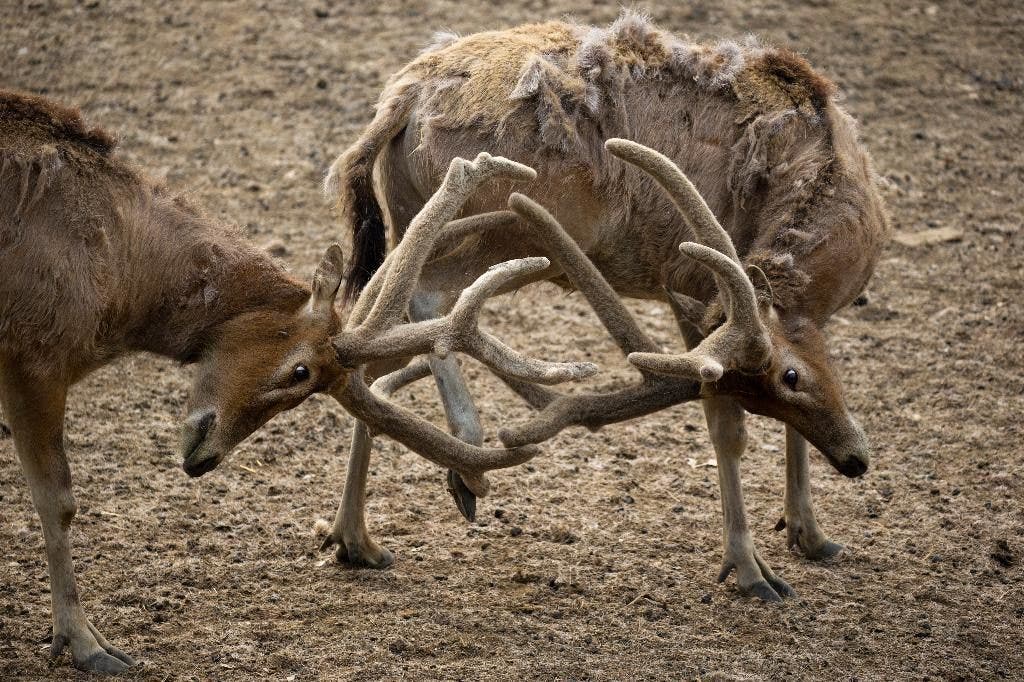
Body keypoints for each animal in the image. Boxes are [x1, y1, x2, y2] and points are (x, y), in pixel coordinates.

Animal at [0, 89, 593, 673]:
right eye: (300, 370)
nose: (203, 458)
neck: (121, 276)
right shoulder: (34, 357)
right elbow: (58, 501)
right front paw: (85, 644)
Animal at [322, 11, 890, 602]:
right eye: (790, 377)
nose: (855, 459)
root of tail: (403, 97)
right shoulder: (701, 289)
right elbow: (726, 428)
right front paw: (751, 570)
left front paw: (810, 533)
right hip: (517, 224)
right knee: (420, 298)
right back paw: (468, 458)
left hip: (417, 217)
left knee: (368, 327)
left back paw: (356, 538)